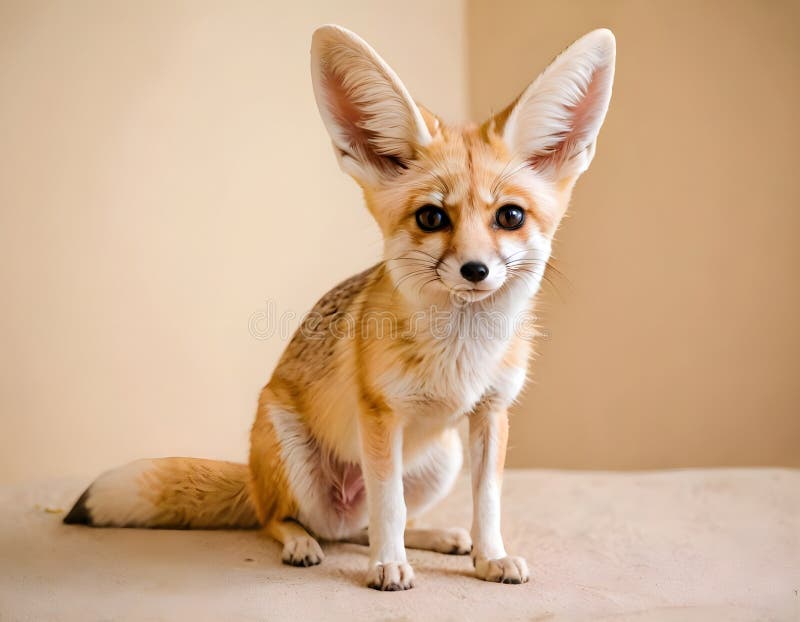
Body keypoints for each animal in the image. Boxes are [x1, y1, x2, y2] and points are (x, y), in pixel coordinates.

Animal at [63, 25, 615, 591]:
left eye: (510, 216)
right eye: (432, 217)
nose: (476, 271)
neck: (461, 356)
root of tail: (255, 477)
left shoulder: (490, 413)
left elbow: (486, 504)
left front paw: (490, 557)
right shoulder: (380, 416)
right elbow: (389, 507)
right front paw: (388, 566)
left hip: (442, 458)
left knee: (357, 527)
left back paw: (437, 537)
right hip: (299, 464)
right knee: (285, 520)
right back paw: (304, 543)